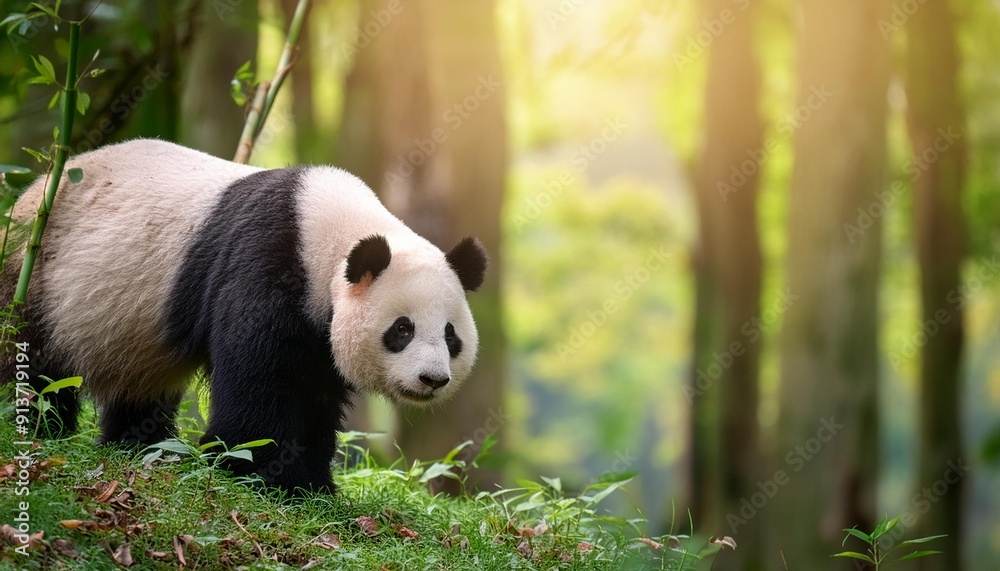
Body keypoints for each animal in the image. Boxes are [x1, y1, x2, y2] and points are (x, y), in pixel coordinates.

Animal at [0, 139, 487, 493]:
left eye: (451, 336)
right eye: (402, 329)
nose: (432, 379)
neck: (329, 235)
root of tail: (31, 190)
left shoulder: (318, 328)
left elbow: (316, 395)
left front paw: (314, 483)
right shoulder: (266, 261)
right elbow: (261, 382)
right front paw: (264, 474)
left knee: (139, 384)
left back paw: (139, 443)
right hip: (33, 271)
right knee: (33, 361)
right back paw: (38, 424)